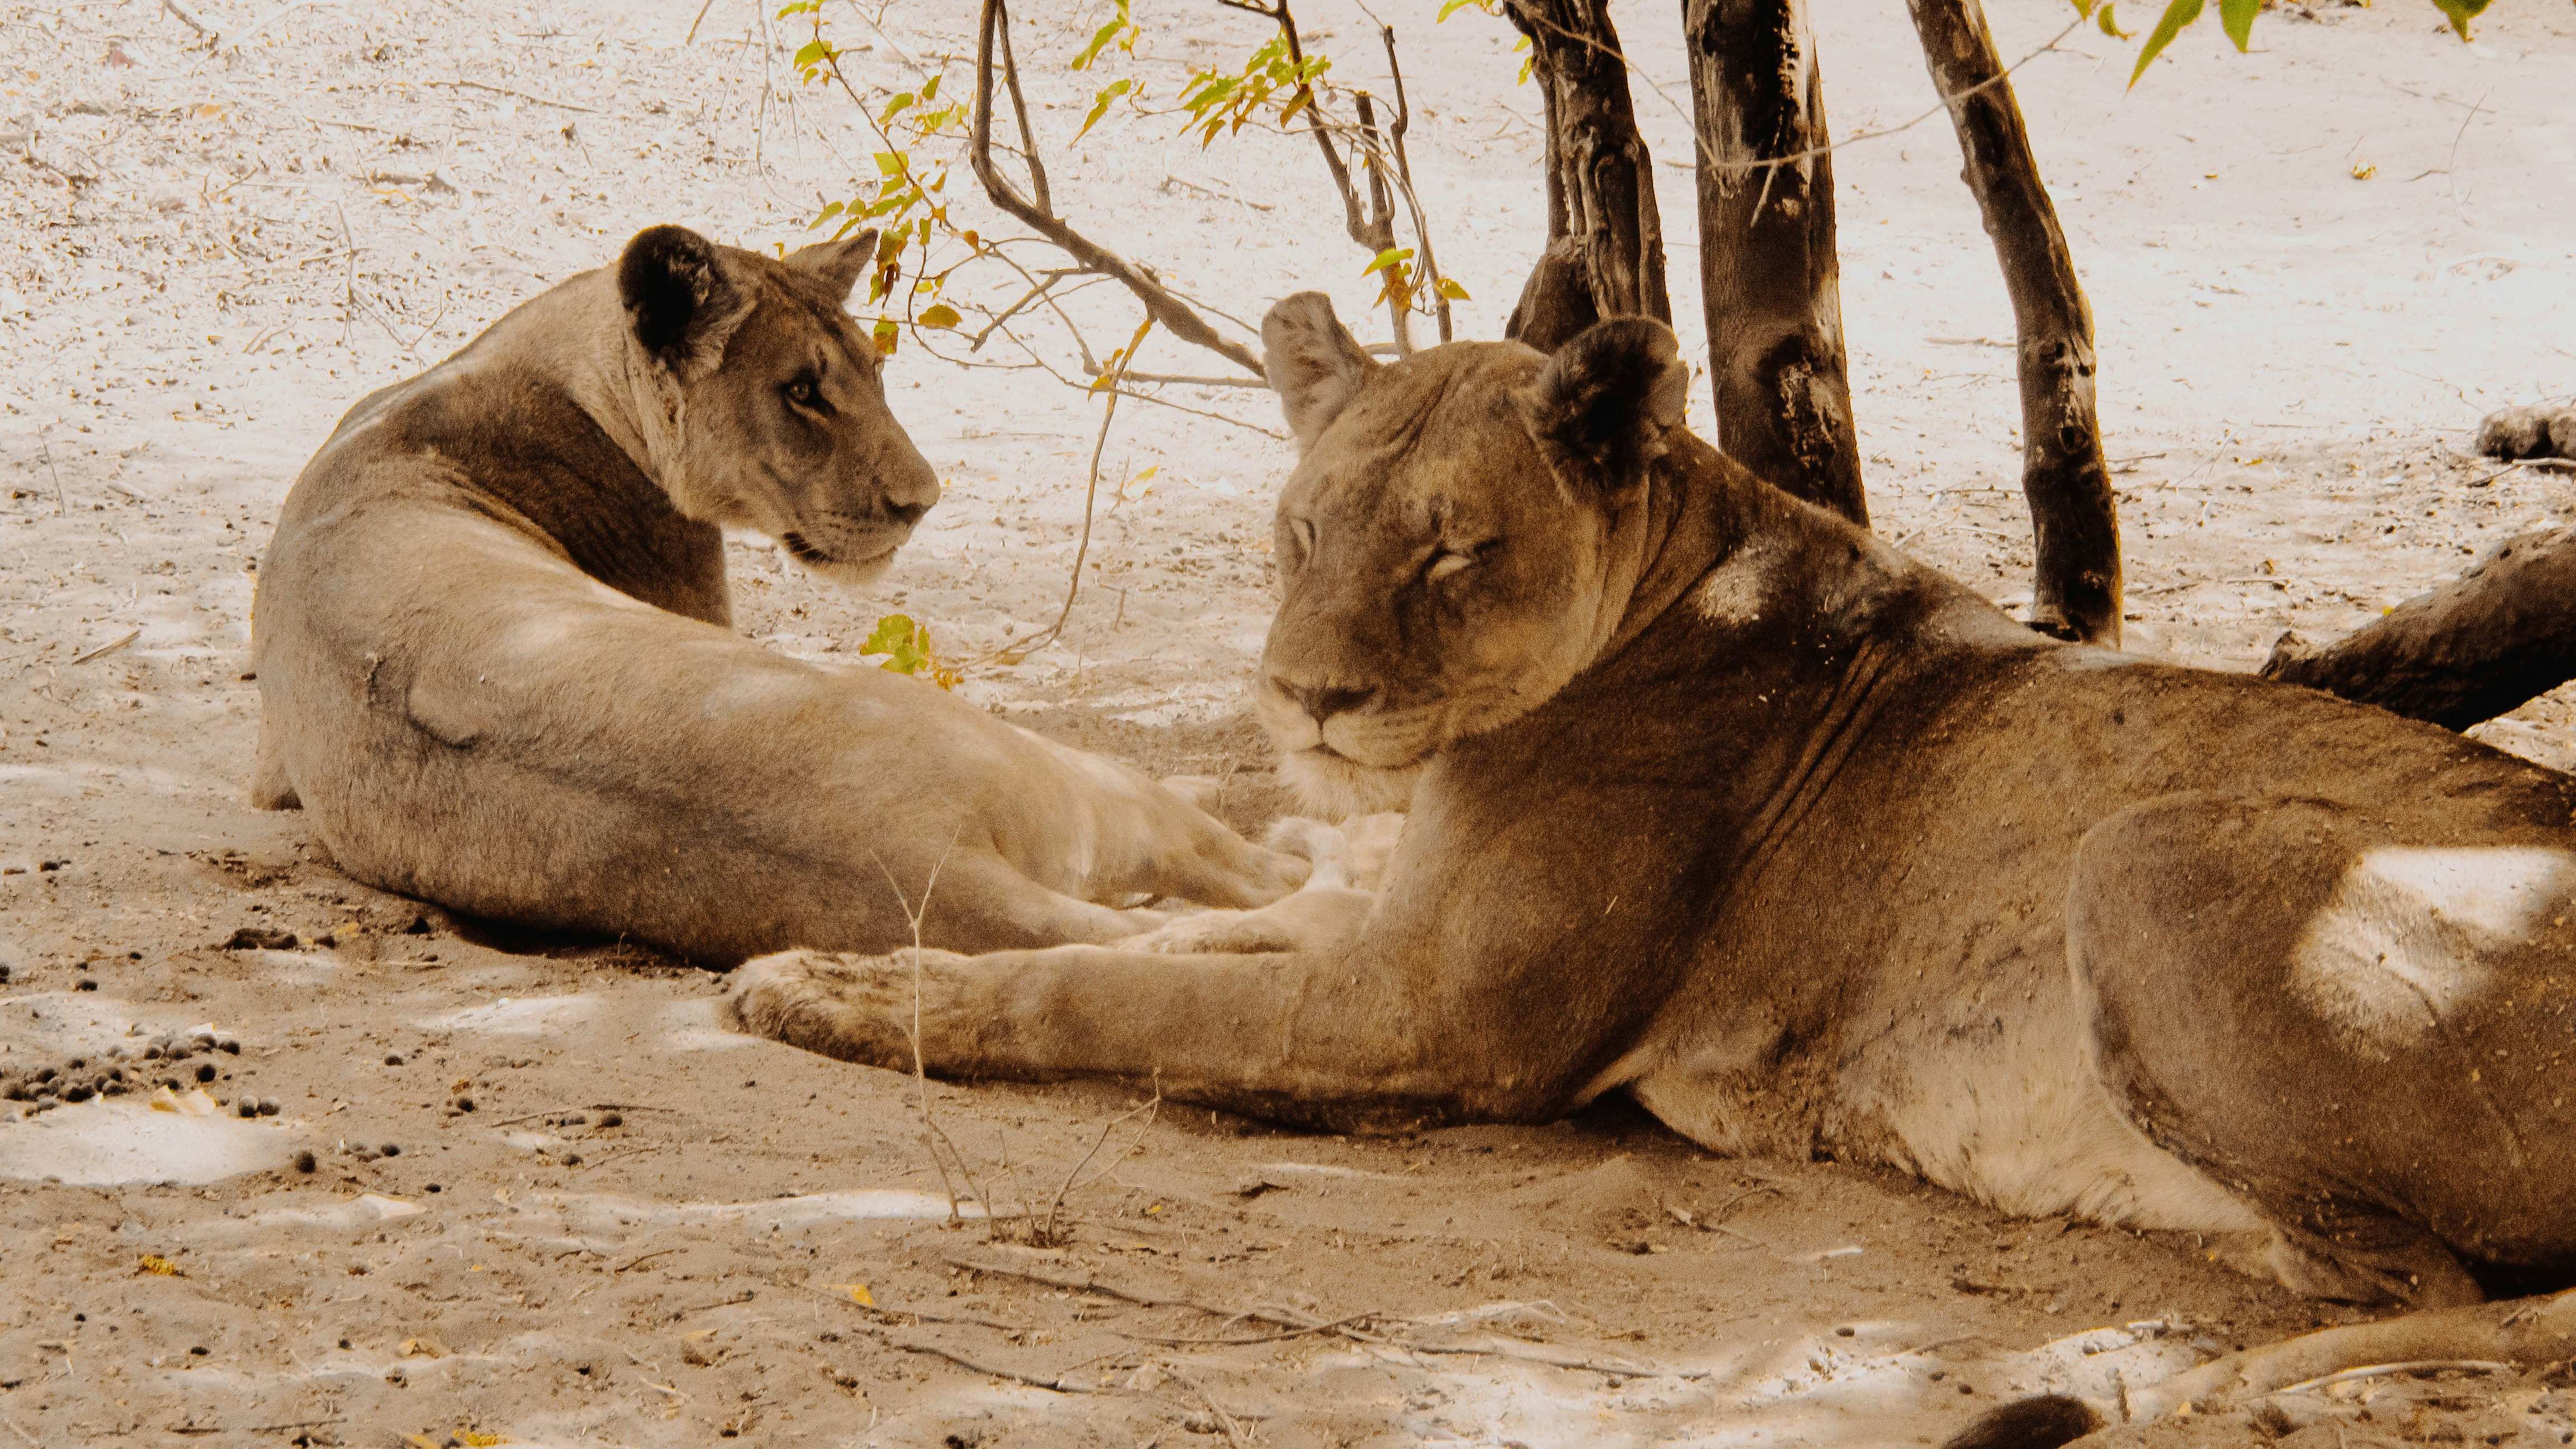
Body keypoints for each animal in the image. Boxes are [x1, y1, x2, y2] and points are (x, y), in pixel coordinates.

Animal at [249, 225, 1307, 963]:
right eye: (802, 390)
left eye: (877, 373)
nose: (922, 502)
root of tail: (922, 867)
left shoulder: (271, 777)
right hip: (1065, 769)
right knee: (1239, 864)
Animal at [730, 297, 2576, 1440]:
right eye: (1305, 531)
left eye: (1452, 552)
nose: (1306, 699)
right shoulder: (1381, 941)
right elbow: (1176, 944)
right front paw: (844, 959)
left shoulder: (1441, 1017)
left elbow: (1101, 991)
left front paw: (835, 997)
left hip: (2146, 846)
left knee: (2419, 1279)